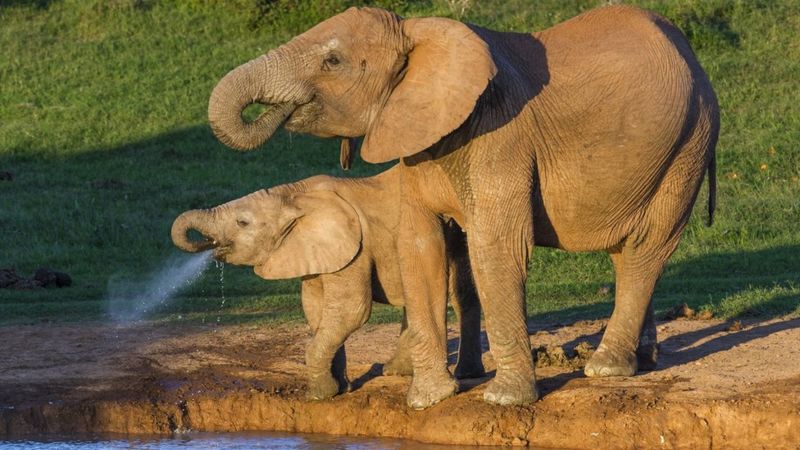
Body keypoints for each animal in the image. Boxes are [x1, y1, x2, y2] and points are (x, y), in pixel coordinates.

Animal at [170, 166, 485, 400]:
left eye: (242, 223)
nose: (210, 247)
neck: (294, 195)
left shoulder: (355, 247)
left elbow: (351, 310)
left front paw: (318, 395)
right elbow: (315, 308)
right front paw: (338, 389)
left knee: (460, 292)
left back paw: (463, 374)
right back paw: (395, 371)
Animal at [205, 4, 718, 408]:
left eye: (333, 61)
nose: (275, 112)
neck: (418, 33)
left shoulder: (500, 134)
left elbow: (496, 249)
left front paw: (505, 400)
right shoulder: (417, 140)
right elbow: (420, 246)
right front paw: (427, 400)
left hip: (689, 143)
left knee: (647, 247)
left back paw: (606, 367)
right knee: (626, 249)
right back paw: (642, 361)